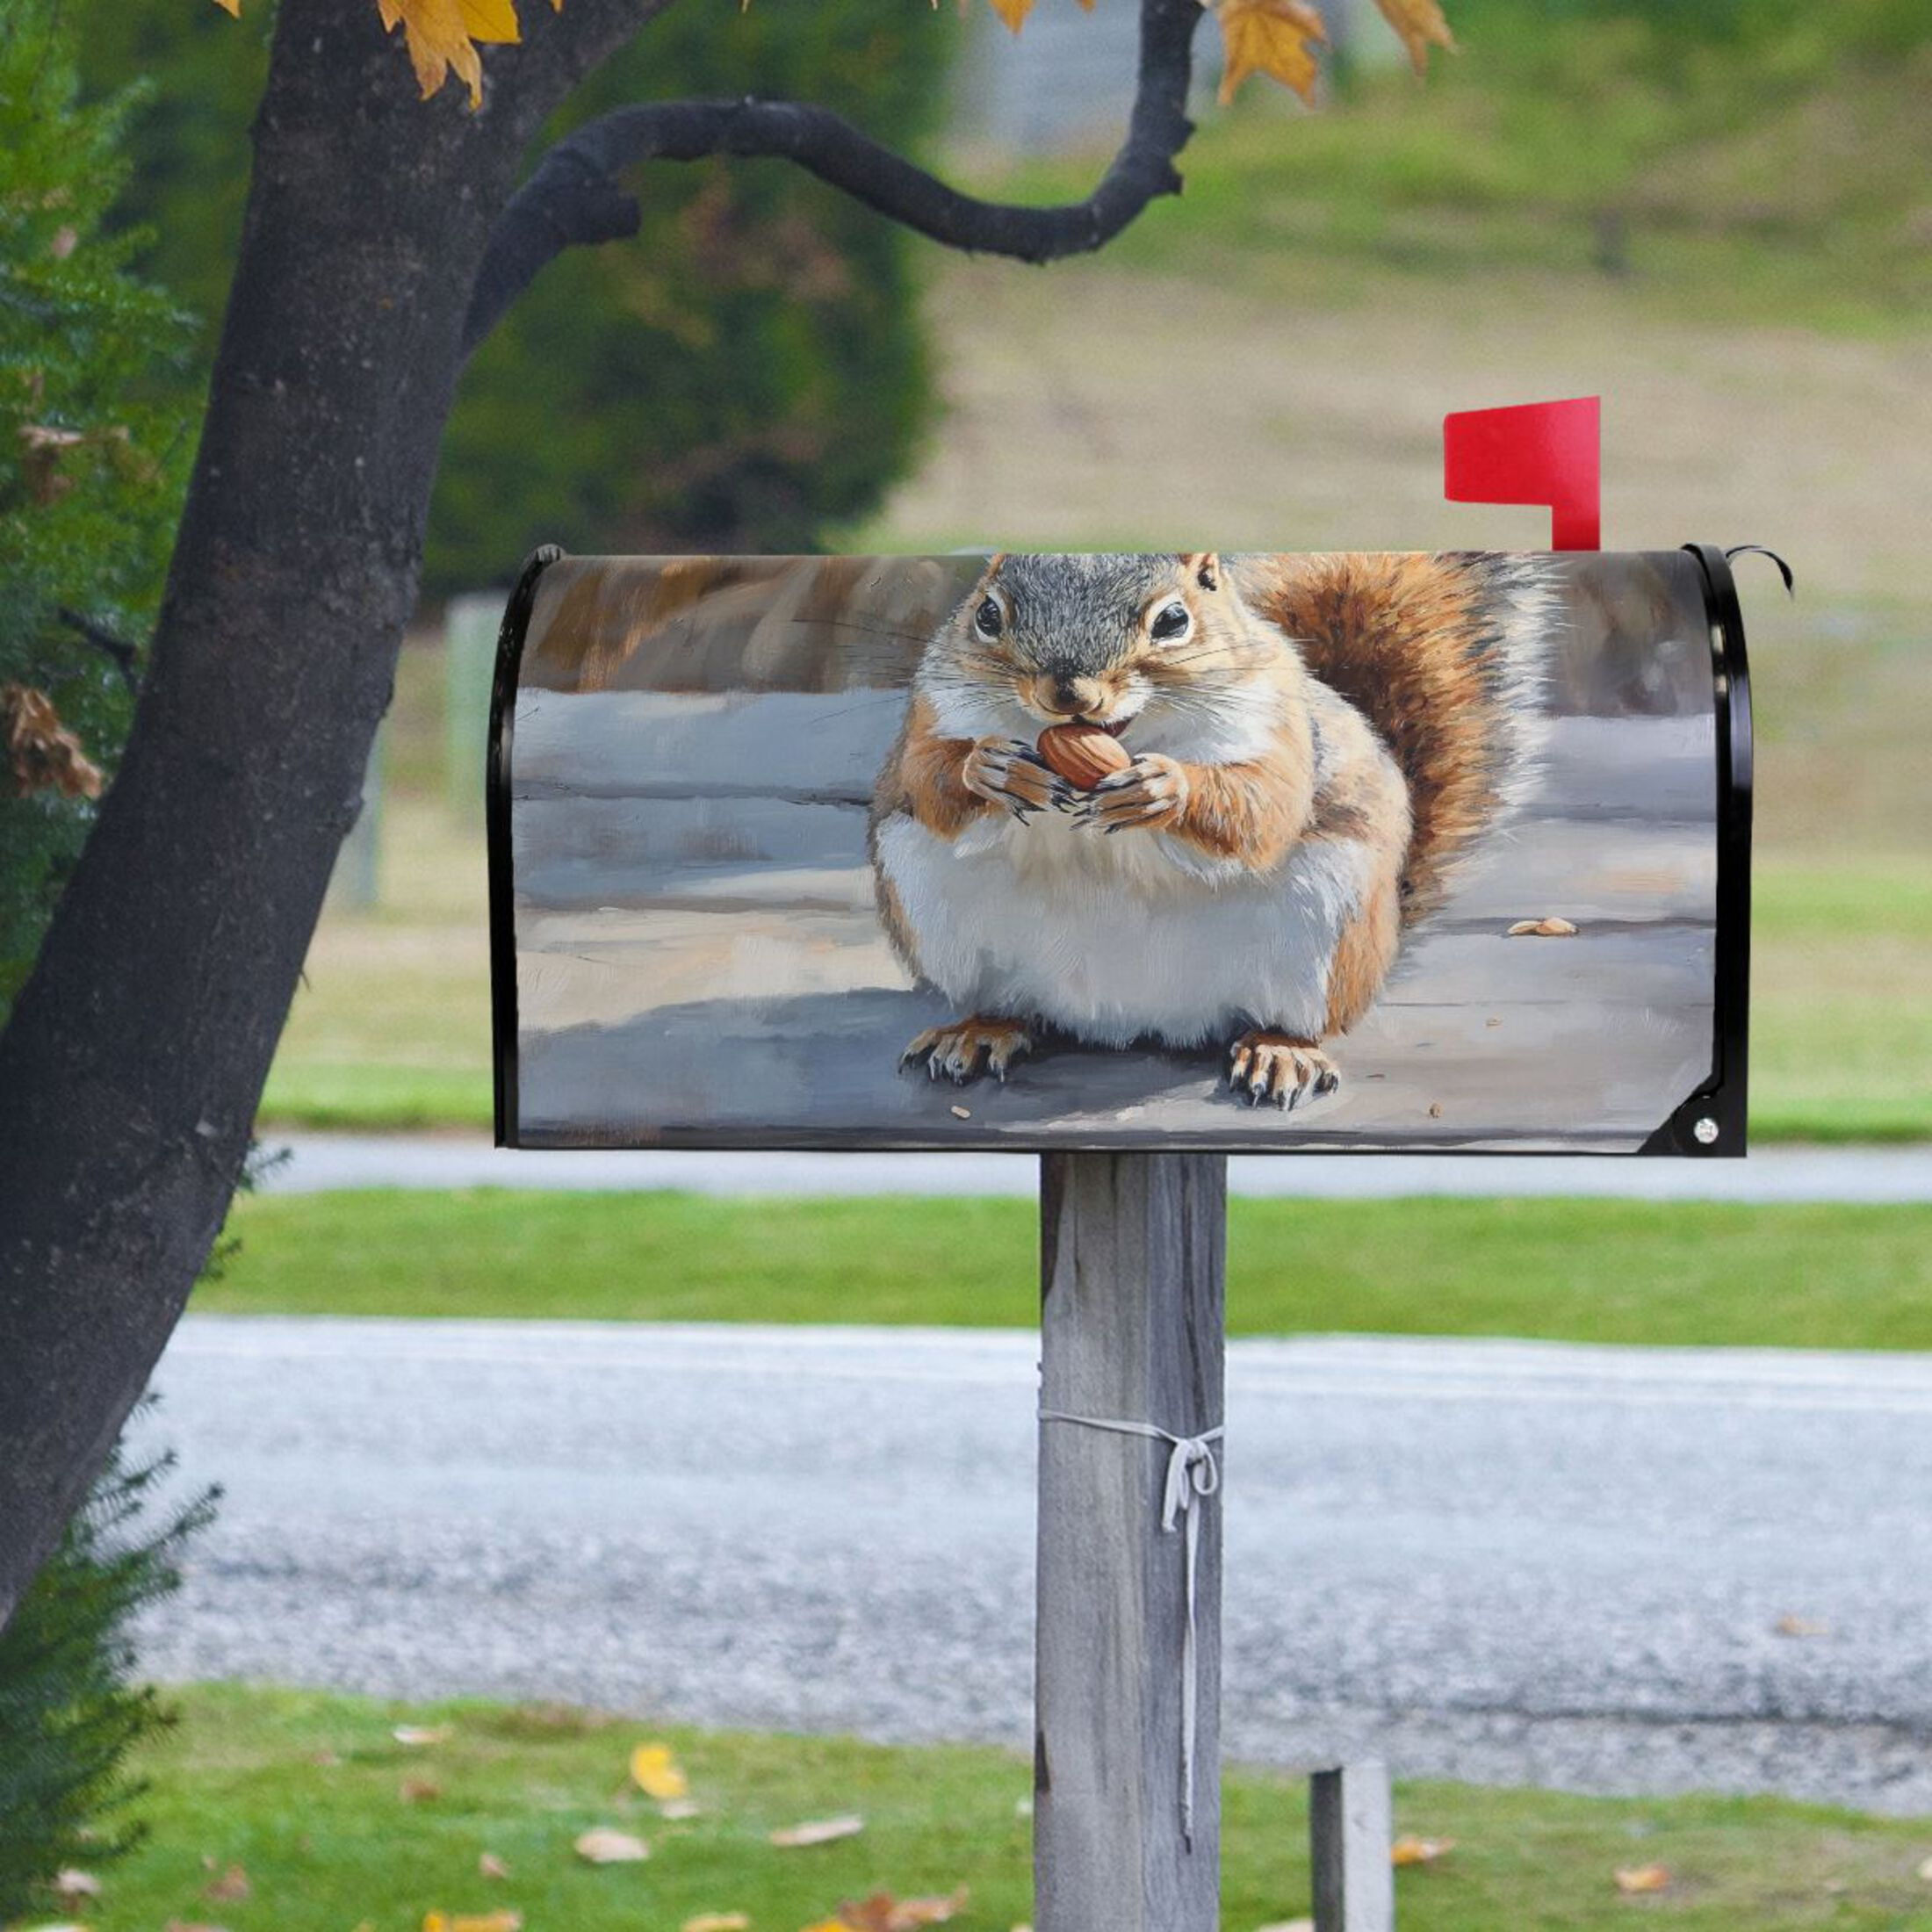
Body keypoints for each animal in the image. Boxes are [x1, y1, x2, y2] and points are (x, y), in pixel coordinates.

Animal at [866, 550, 1554, 1107]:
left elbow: (1262, 806)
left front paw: (1165, 788)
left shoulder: (1278, 721)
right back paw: (980, 1031)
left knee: (1294, 1015)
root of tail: (1128, 1018)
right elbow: (925, 776)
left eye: (1174, 621)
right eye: (987, 614)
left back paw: (1282, 1050)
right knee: (1015, 1006)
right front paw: (993, 768)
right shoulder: (931, 711)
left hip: (1326, 930)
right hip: (933, 903)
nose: (1069, 694)